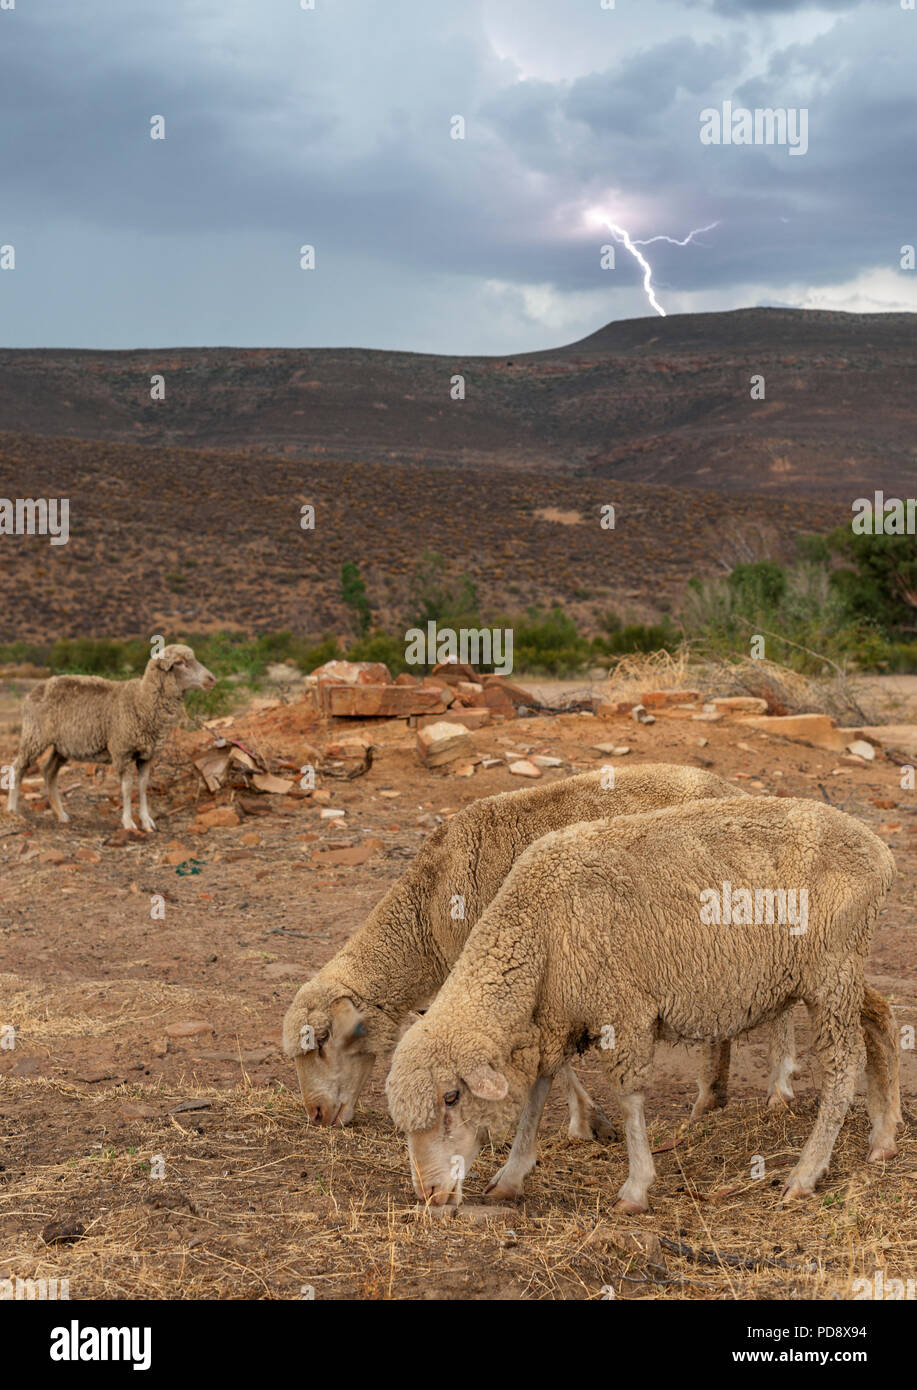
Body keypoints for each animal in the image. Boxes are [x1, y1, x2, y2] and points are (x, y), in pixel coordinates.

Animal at [6, 643, 215, 832]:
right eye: (179, 662)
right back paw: (12, 810)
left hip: (62, 745)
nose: (212, 679)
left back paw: (61, 814)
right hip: (35, 735)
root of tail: (34, 690)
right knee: (18, 767)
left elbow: (142, 786)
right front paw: (129, 822)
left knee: (49, 771)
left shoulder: (147, 755)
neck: (142, 700)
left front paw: (146, 821)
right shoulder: (122, 751)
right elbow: (127, 787)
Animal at [282, 763, 793, 1144]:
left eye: (322, 1039)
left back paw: (775, 1093)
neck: (427, 910)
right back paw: (714, 1097)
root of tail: (733, 788)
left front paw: (586, 1123)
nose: (317, 1115)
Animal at [386, 797, 899, 1210]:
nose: (429, 1194)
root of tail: (878, 848)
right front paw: (511, 1176)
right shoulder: (554, 1021)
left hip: (832, 968)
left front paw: (635, 1188)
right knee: (881, 1016)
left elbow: (629, 1098)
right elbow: (537, 1093)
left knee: (841, 1066)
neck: (539, 930)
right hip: (833, 971)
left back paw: (806, 1173)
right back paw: (884, 1136)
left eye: (451, 1097)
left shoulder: (623, 1010)